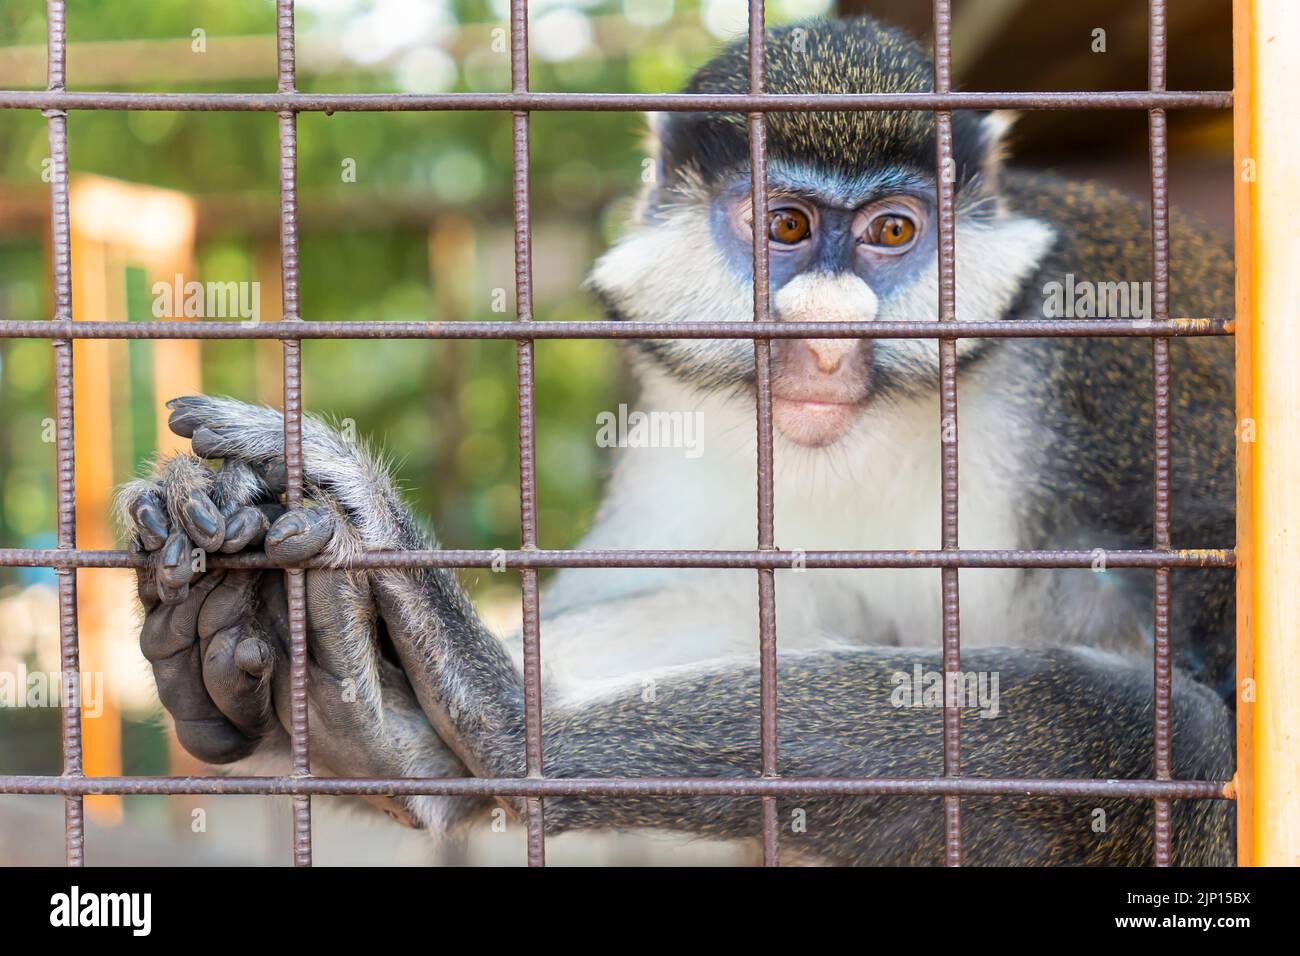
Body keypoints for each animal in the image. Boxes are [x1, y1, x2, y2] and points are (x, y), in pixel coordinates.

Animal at [115, 16, 1236, 865]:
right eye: (785, 227)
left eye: (891, 233)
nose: (826, 334)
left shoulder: (1100, 355)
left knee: (1176, 732)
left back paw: (497, 721)